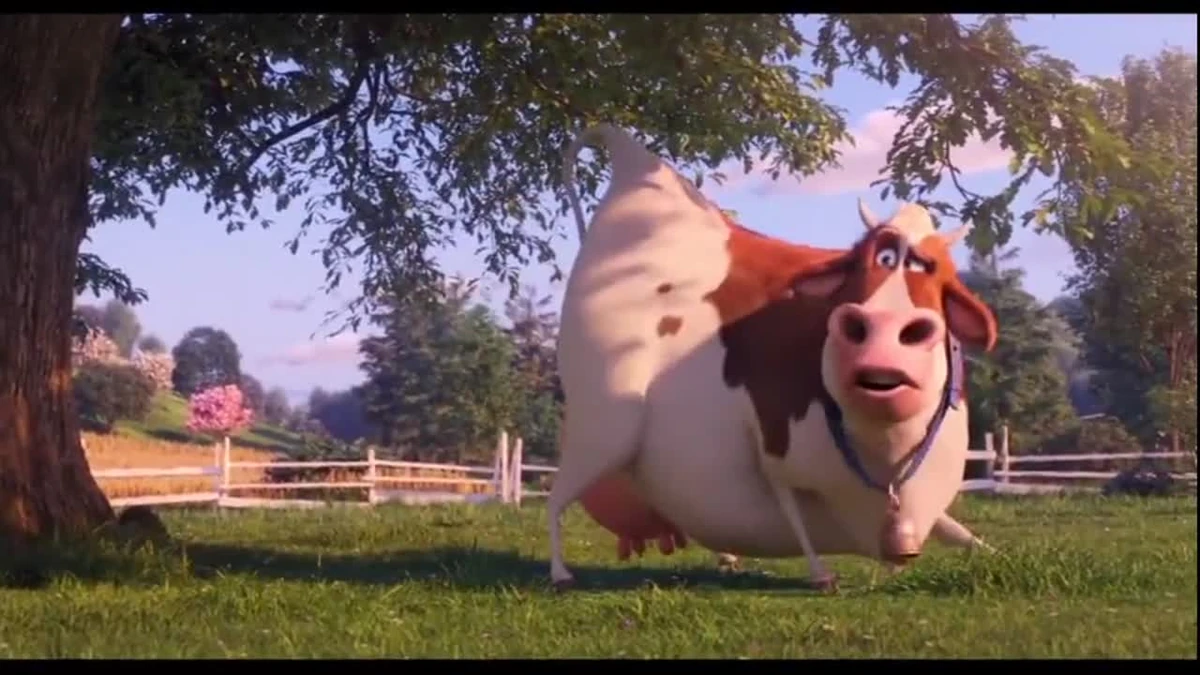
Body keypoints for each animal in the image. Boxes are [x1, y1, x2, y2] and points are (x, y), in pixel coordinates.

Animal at [550, 123, 996, 590]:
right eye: (871, 261)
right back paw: (560, 573)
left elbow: (961, 533)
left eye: (932, 270)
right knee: (556, 498)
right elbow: (791, 508)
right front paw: (821, 575)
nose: (881, 327)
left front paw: (988, 554)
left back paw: (726, 558)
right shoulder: (775, 447)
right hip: (604, 425)